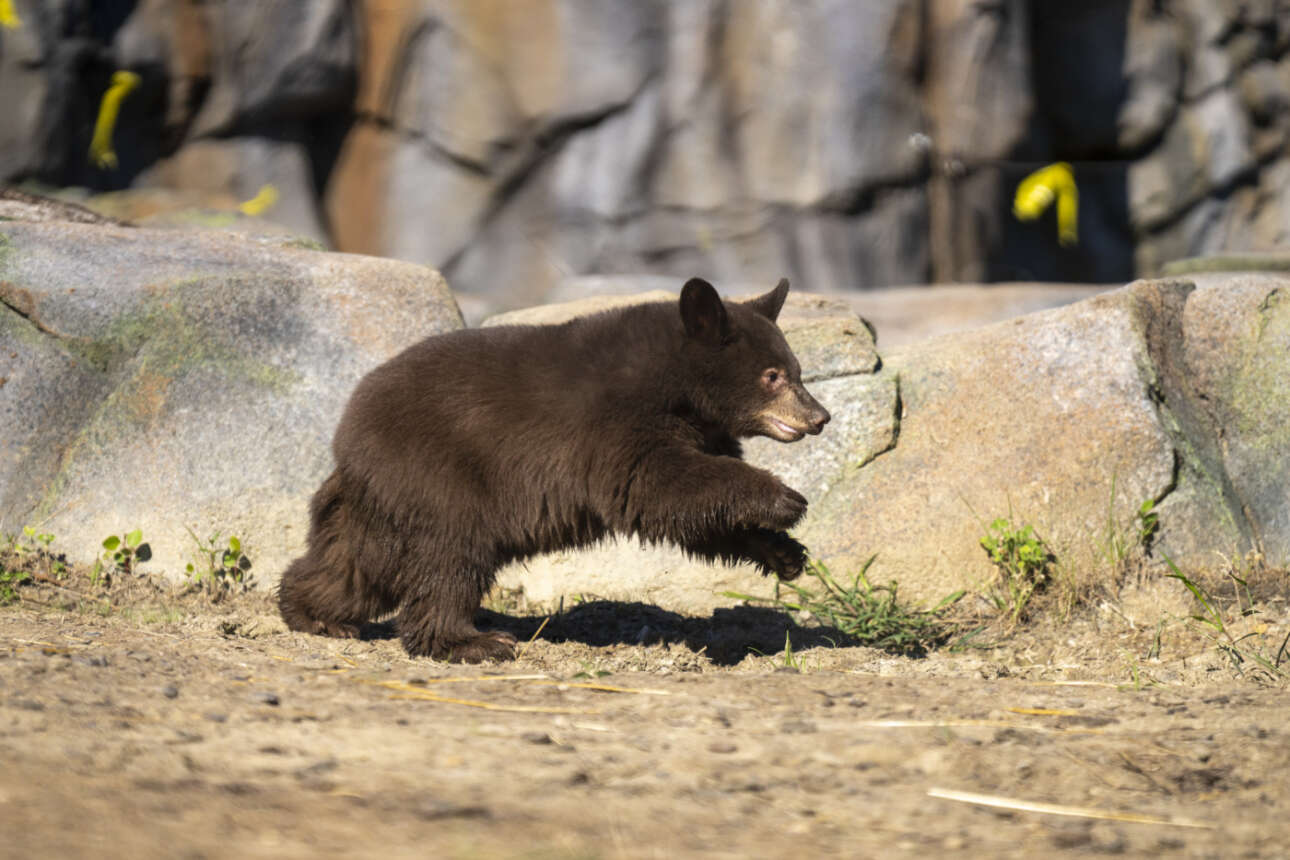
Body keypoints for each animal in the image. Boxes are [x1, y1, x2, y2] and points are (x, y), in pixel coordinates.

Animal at [277, 277, 830, 662]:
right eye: (773, 375)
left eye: (797, 371)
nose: (819, 416)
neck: (680, 388)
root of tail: (346, 433)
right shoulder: (616, 423)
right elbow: (657, 485)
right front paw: (785, 499)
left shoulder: (702, 430)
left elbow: (696, 515)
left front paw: (784, 553)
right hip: (438, 475)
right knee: (449, 559)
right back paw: (472, 643)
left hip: (385, 498)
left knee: (355, 565)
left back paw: (312, 612)